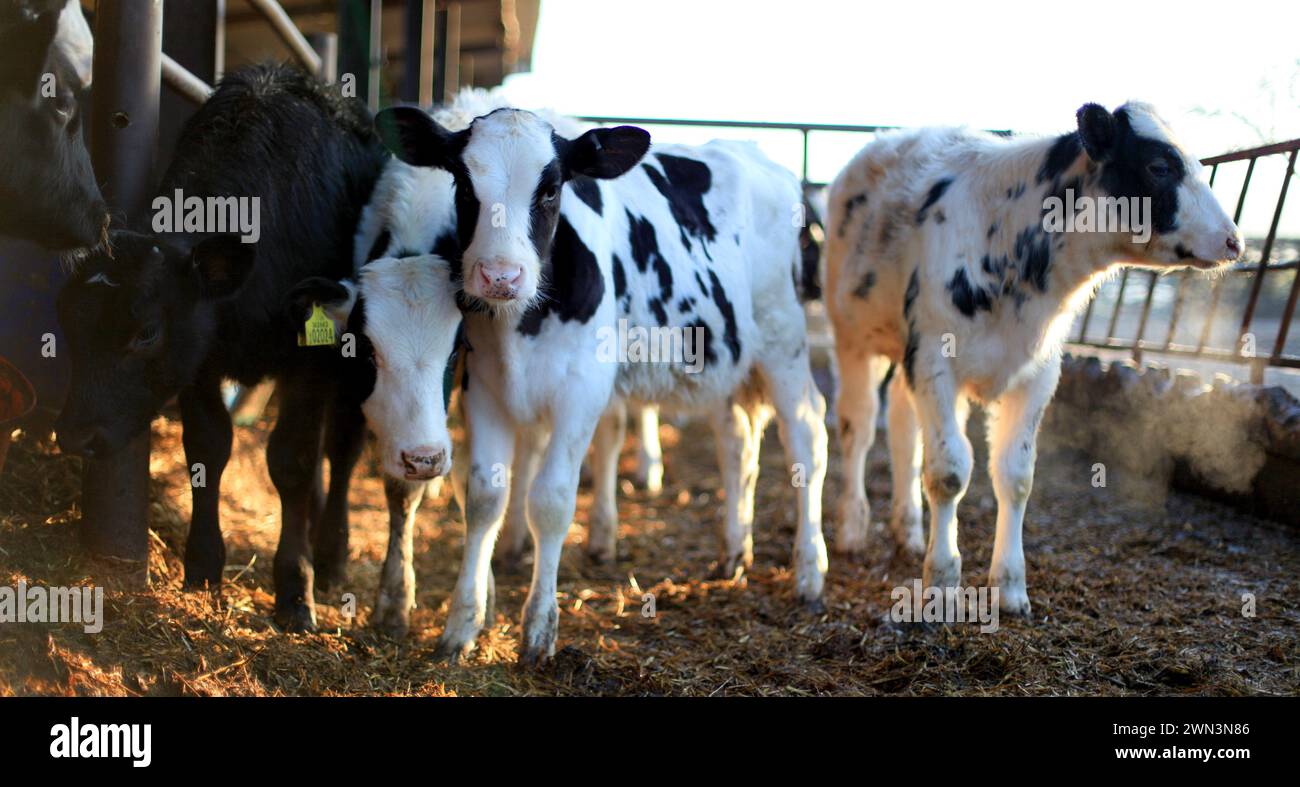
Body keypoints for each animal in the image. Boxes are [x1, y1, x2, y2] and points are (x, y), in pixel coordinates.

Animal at [55, 63, 387, 631]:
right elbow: (207, 448)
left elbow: (293, 459)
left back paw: (332, 555)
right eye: (69, 325)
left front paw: (295, 588)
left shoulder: (309, 359)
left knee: (342, 449)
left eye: (146, 332)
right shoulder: (199, 359)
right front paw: (204, 565)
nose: (76, 436)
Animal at [367, 98, 828, 664]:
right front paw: (461, 627)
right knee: (737, 442)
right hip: (725, 358)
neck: (522, 321)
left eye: (550, 189)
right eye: (463, 182)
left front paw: (538, 630)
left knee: (807, 436)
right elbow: (485, 499)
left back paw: (809, 572)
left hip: (785, 339)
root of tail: (767, 161)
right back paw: (734, 552)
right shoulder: (486, 389)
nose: (501, 276)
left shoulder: (581, 390)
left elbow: (550, 501)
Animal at [824, 102, 1243, 615]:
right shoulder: (934, 359)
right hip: (852, 338)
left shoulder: (1037, 373)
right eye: (1159, 166)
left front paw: (1010, 585)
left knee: (904, 430)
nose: (1234, 241)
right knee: (859, 426)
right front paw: (942, 580)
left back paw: (908, 531)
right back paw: (852, 528)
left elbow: (1016, 476)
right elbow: (948, 472)